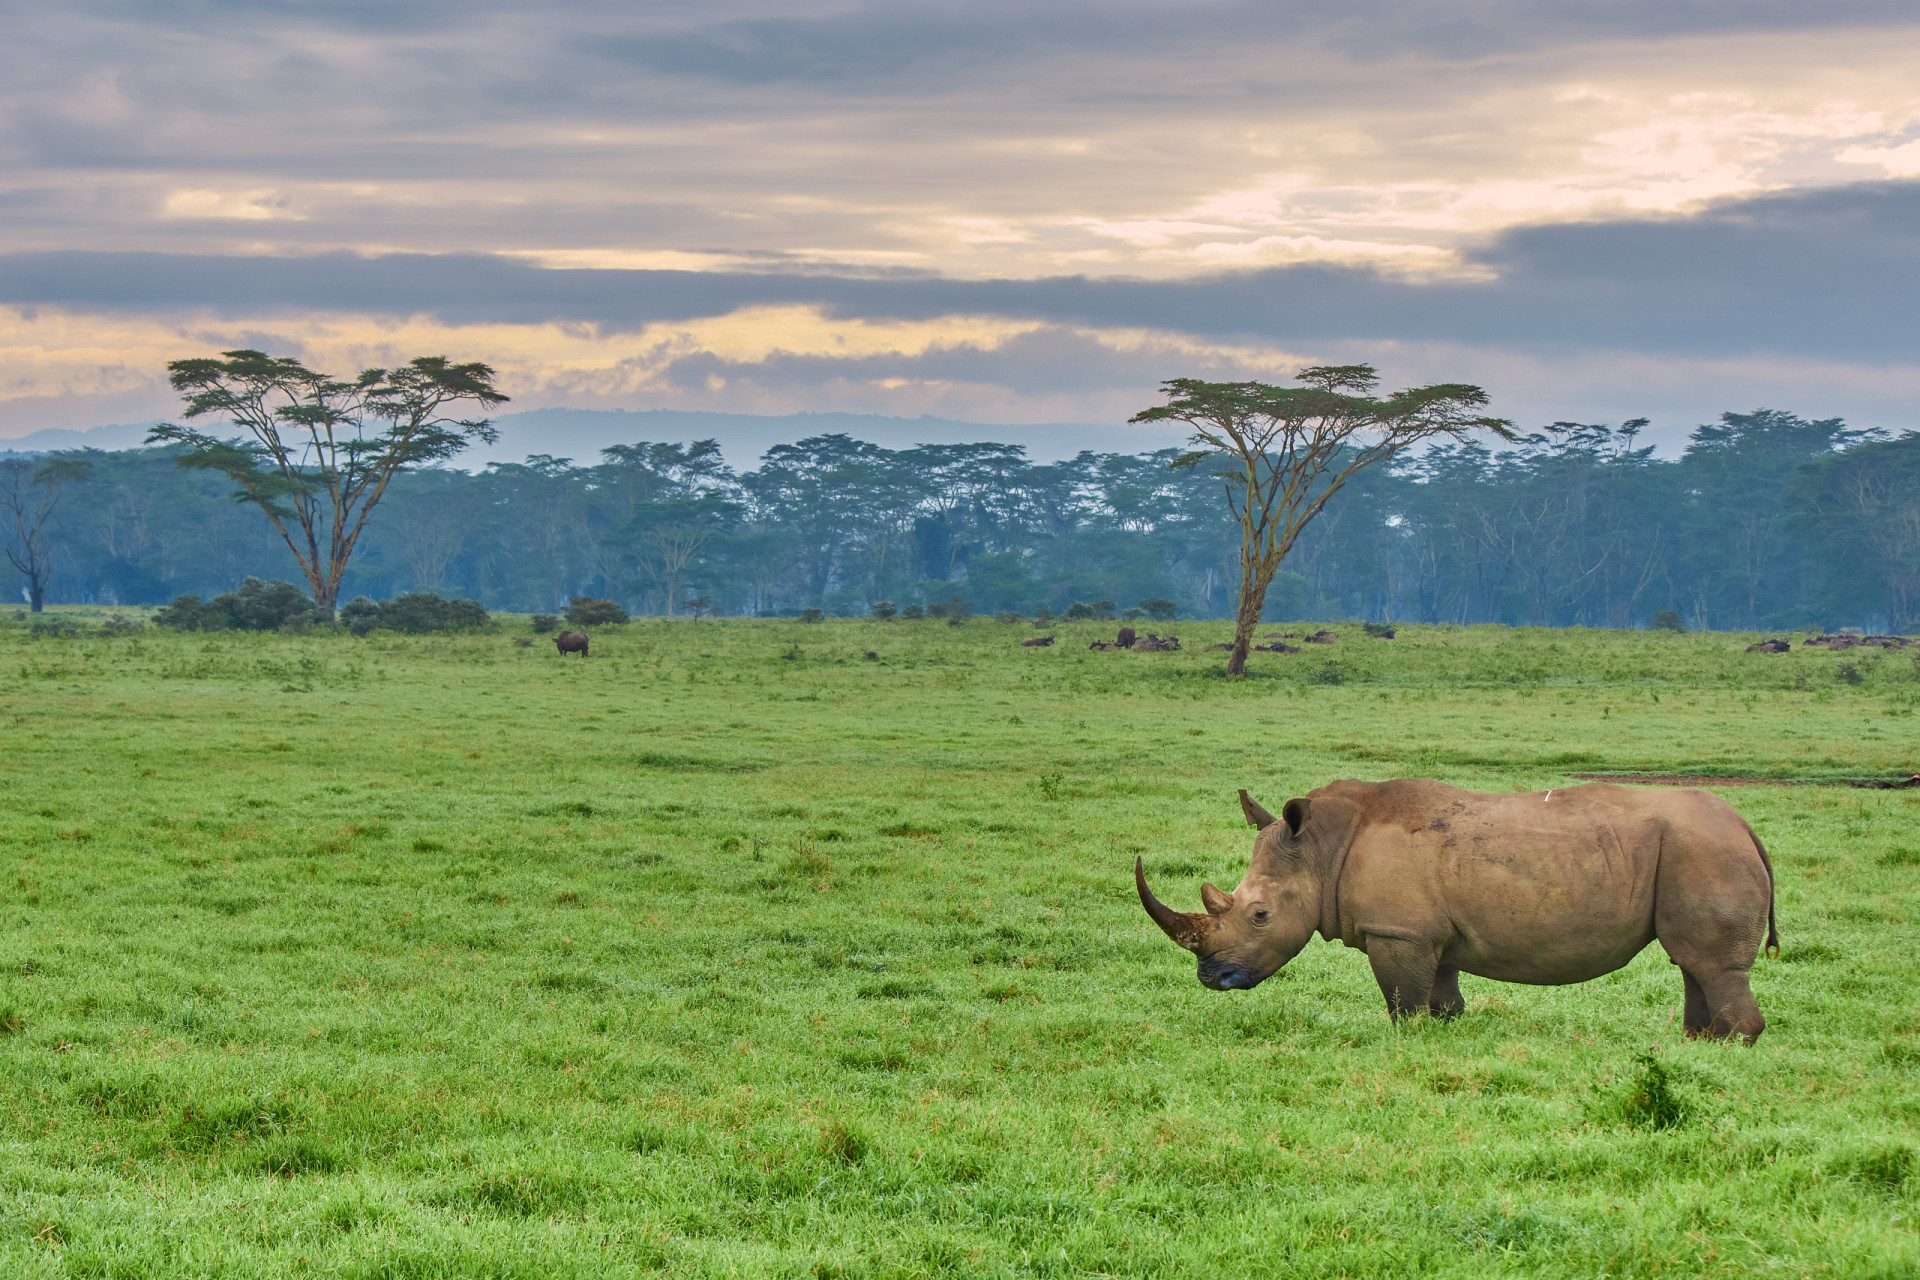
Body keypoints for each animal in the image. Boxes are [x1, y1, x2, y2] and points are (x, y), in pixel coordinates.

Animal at [1128, 782, 1774, 1043]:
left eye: (1259, 915)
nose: (1210, 978)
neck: (1321, 848)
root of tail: (1747, 825)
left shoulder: (1398, 932)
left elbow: (1404, 1006)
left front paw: (1408, 1042)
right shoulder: (1428, 934)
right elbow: (1442, 1001)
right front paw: (1446, 1033)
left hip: (1705, 852)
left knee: (1710, 964)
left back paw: (1732, 1049)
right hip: (1699, 851)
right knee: (1693, 963)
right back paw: (1699, 1046)